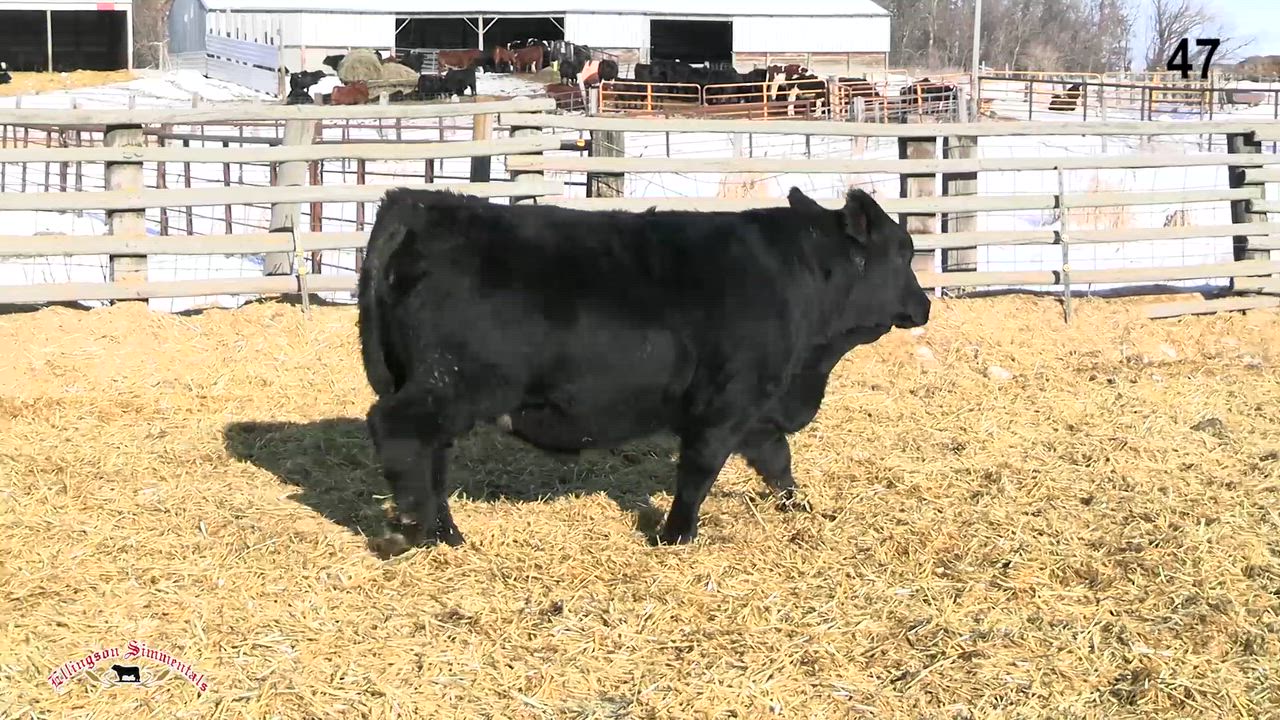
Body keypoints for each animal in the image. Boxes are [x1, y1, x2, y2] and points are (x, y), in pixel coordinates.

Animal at [355, 186, 931, 556]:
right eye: (904, 252)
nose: (924, 305)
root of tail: (420, 205)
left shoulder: (759, 409)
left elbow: (778, 463)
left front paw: (802, 509)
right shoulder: (723, 406)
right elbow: (698, 473)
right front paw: (676, 536)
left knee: (431, 458)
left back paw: (444, 533)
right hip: (449, 384)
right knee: (396, 431)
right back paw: (414, 533)